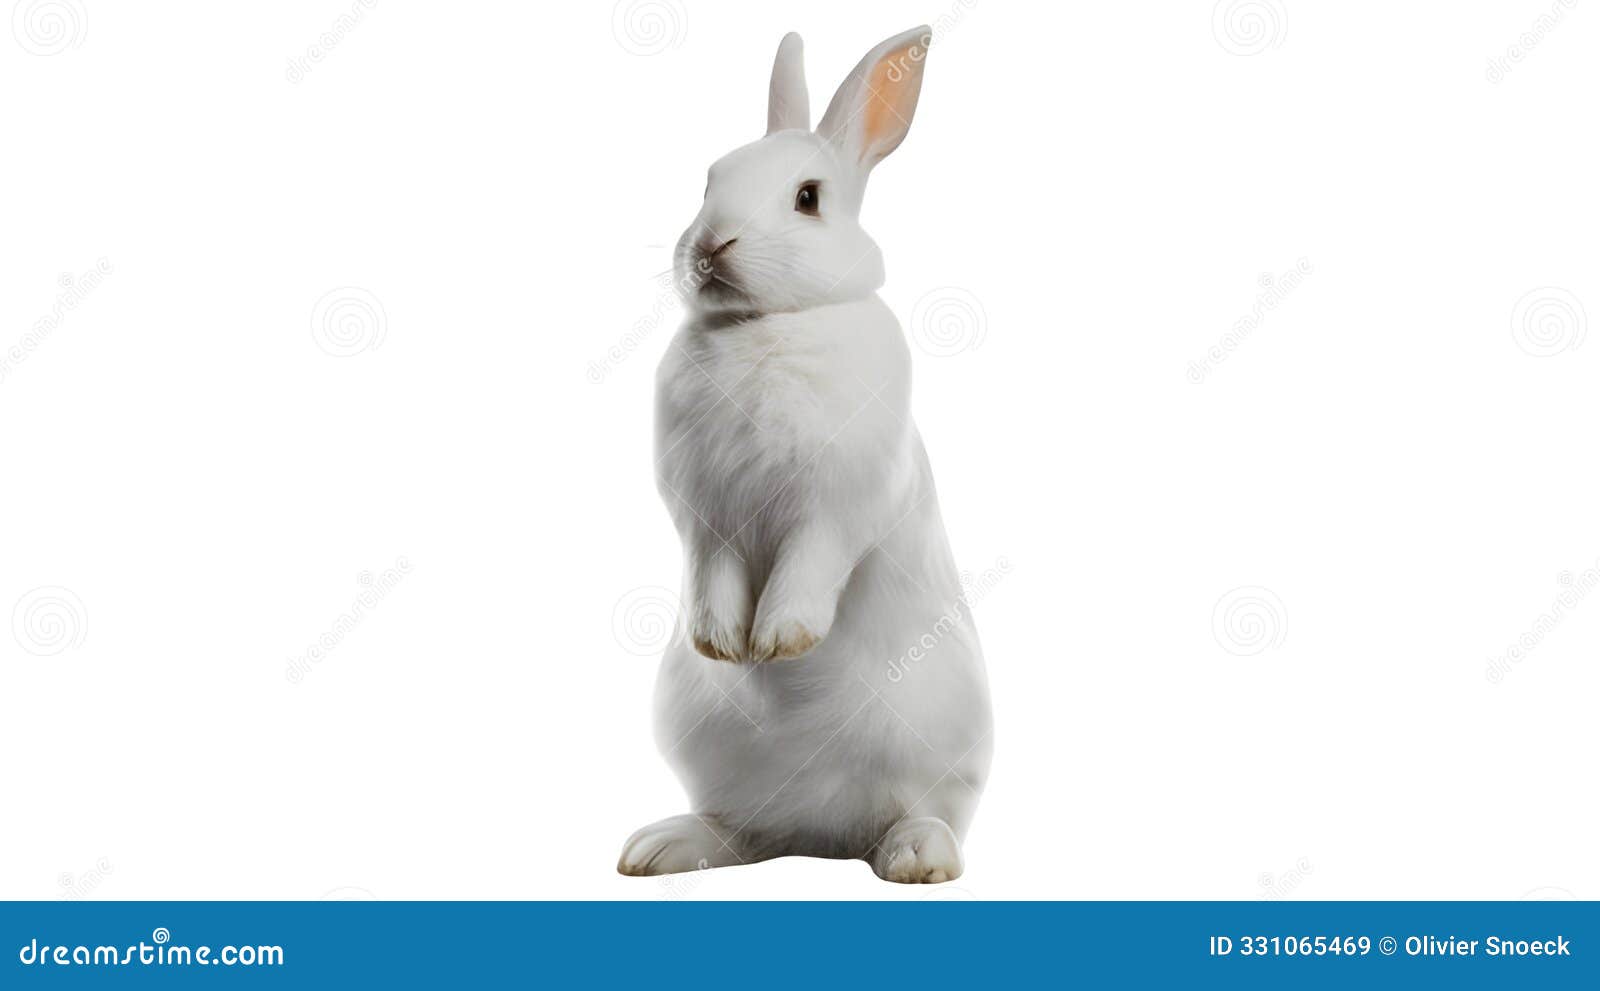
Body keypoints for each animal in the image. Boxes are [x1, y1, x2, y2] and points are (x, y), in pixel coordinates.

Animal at [618, 27, 992, 884]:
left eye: (808, 198)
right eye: (710, 179)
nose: (709, 247)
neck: (770, 322)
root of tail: (821, 837)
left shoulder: (837, 506)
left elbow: (807, 565)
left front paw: (781, 641)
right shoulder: (706, 518)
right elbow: (716, 575)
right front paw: (724, 643)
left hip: (943, 741)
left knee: (924, 810)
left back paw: (918, 856)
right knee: (741, 834)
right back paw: (661, 846)